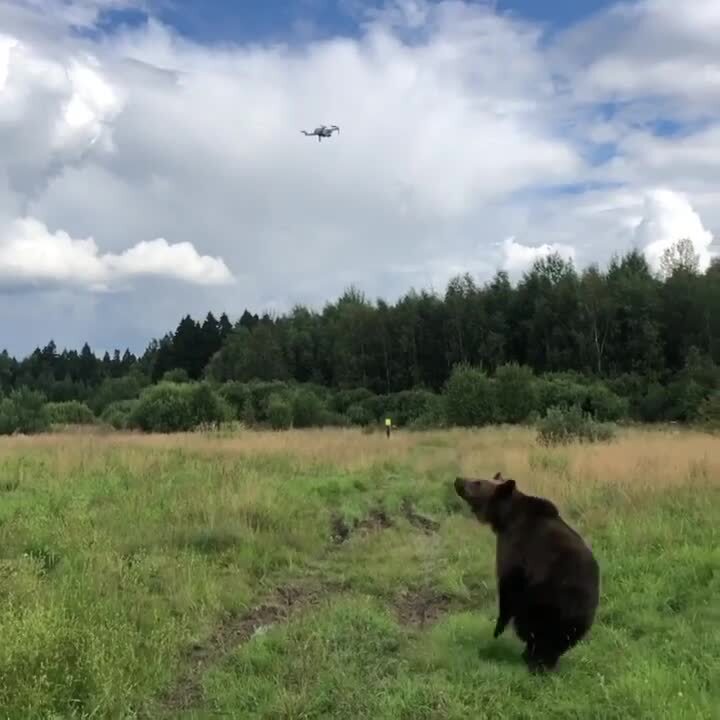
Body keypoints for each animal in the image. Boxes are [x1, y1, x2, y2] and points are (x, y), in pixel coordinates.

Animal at [454, 472, 600, 672]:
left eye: (478, 482)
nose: (458, 480)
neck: (505, 518)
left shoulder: (515, 550)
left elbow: (507, 586)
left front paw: (498, 628)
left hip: (547, 600)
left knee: (535, 631)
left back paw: (534, 660)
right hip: (577, 618)